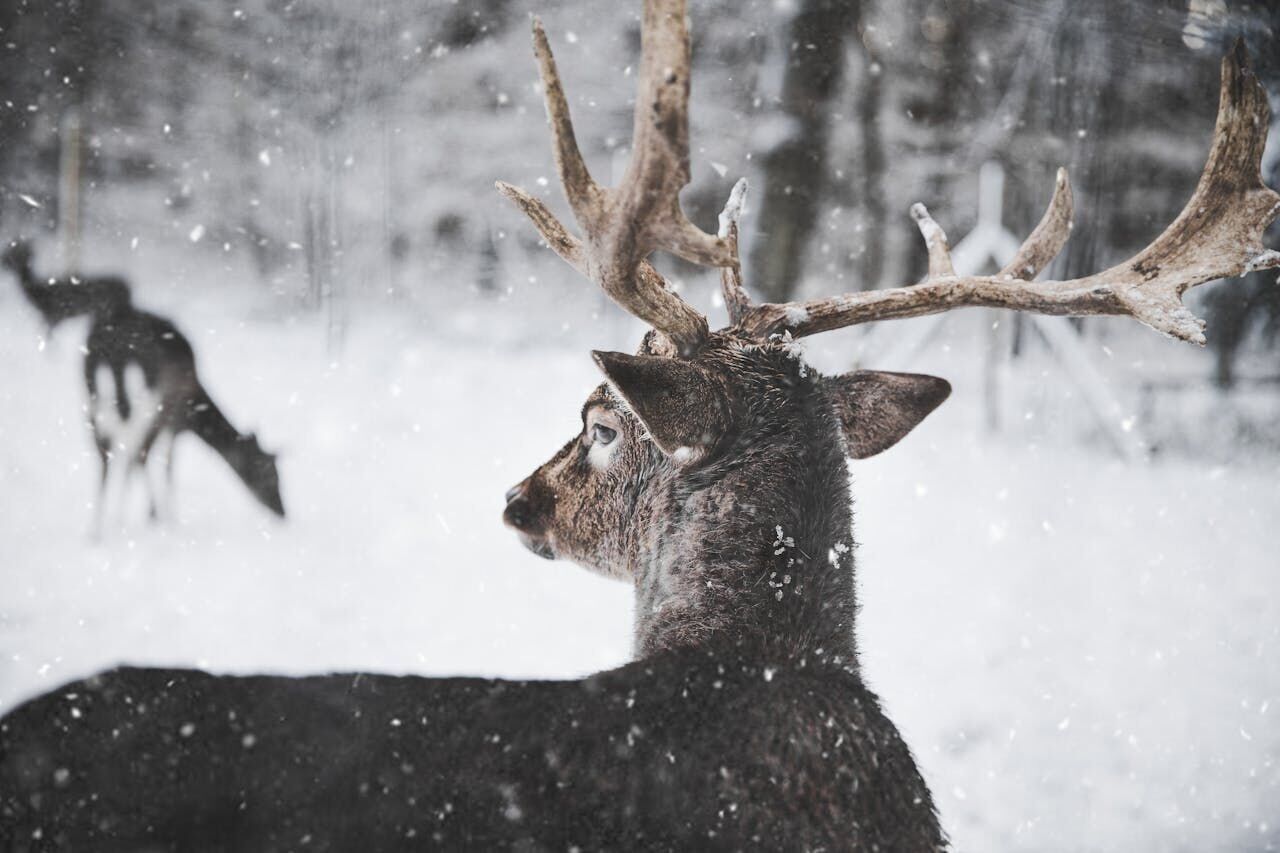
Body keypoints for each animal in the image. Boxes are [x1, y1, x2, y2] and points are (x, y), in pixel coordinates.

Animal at [2, 239, 285, 534]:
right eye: (269, 472)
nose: (283, 512)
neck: (196, 408)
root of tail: (112, 351)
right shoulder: (173, 418)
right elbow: (165, 464)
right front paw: (165, 517)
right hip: (144, 400)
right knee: (133, 452)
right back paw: (130, 519)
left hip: (93, 396)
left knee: (106, 454)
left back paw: (98, 529)